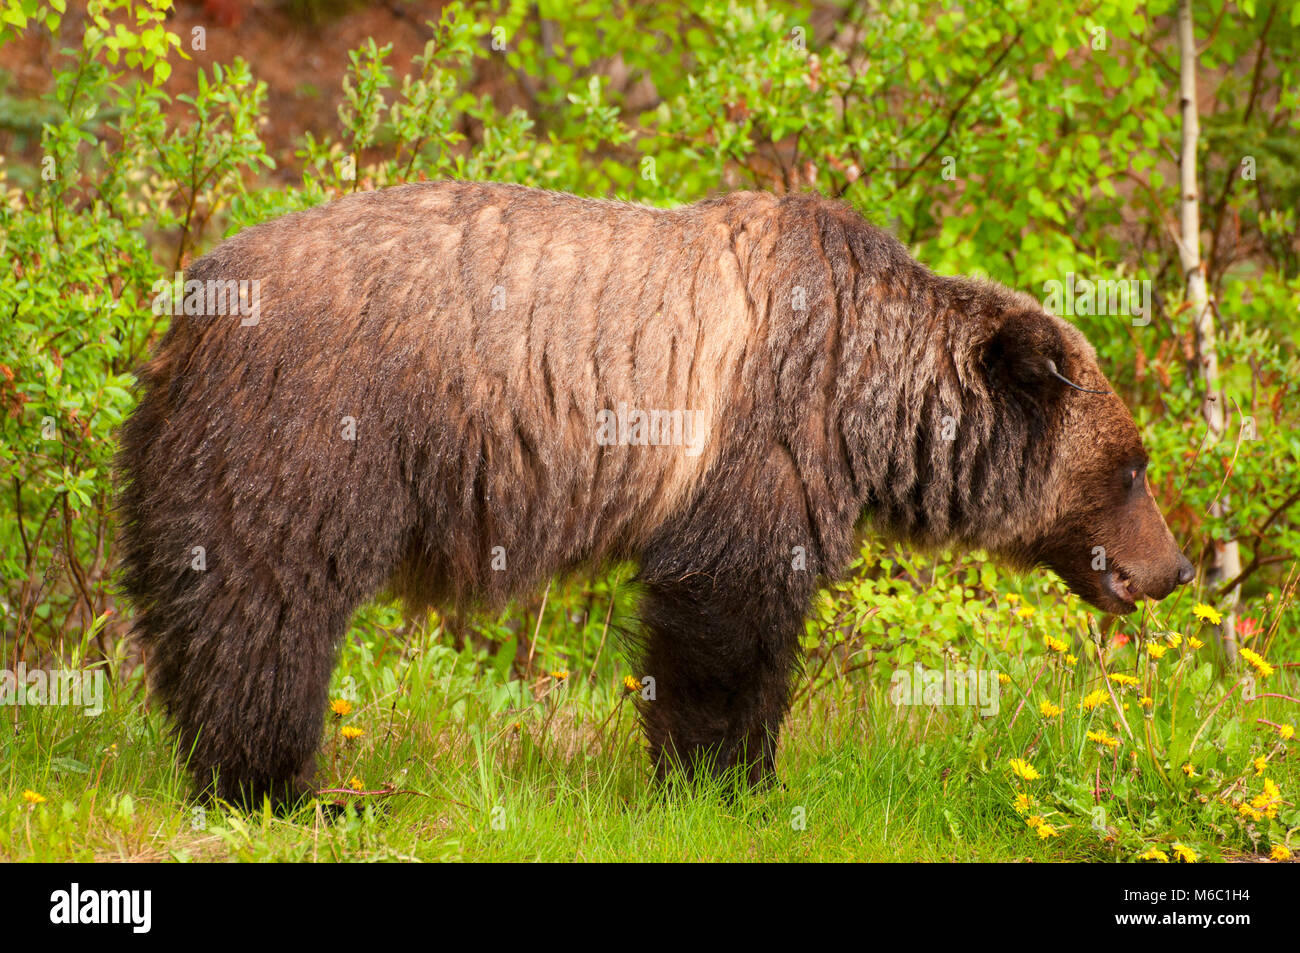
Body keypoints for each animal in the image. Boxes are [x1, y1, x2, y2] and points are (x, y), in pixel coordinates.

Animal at [116, 181, 1194, 806]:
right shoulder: (758, 432)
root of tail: (191, 296)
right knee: (269, 601)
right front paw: (726, 780)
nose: (1173, 566)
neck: (866, 391)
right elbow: (724, 616)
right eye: (1132, 465)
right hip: (318, 425)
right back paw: (281, 781)